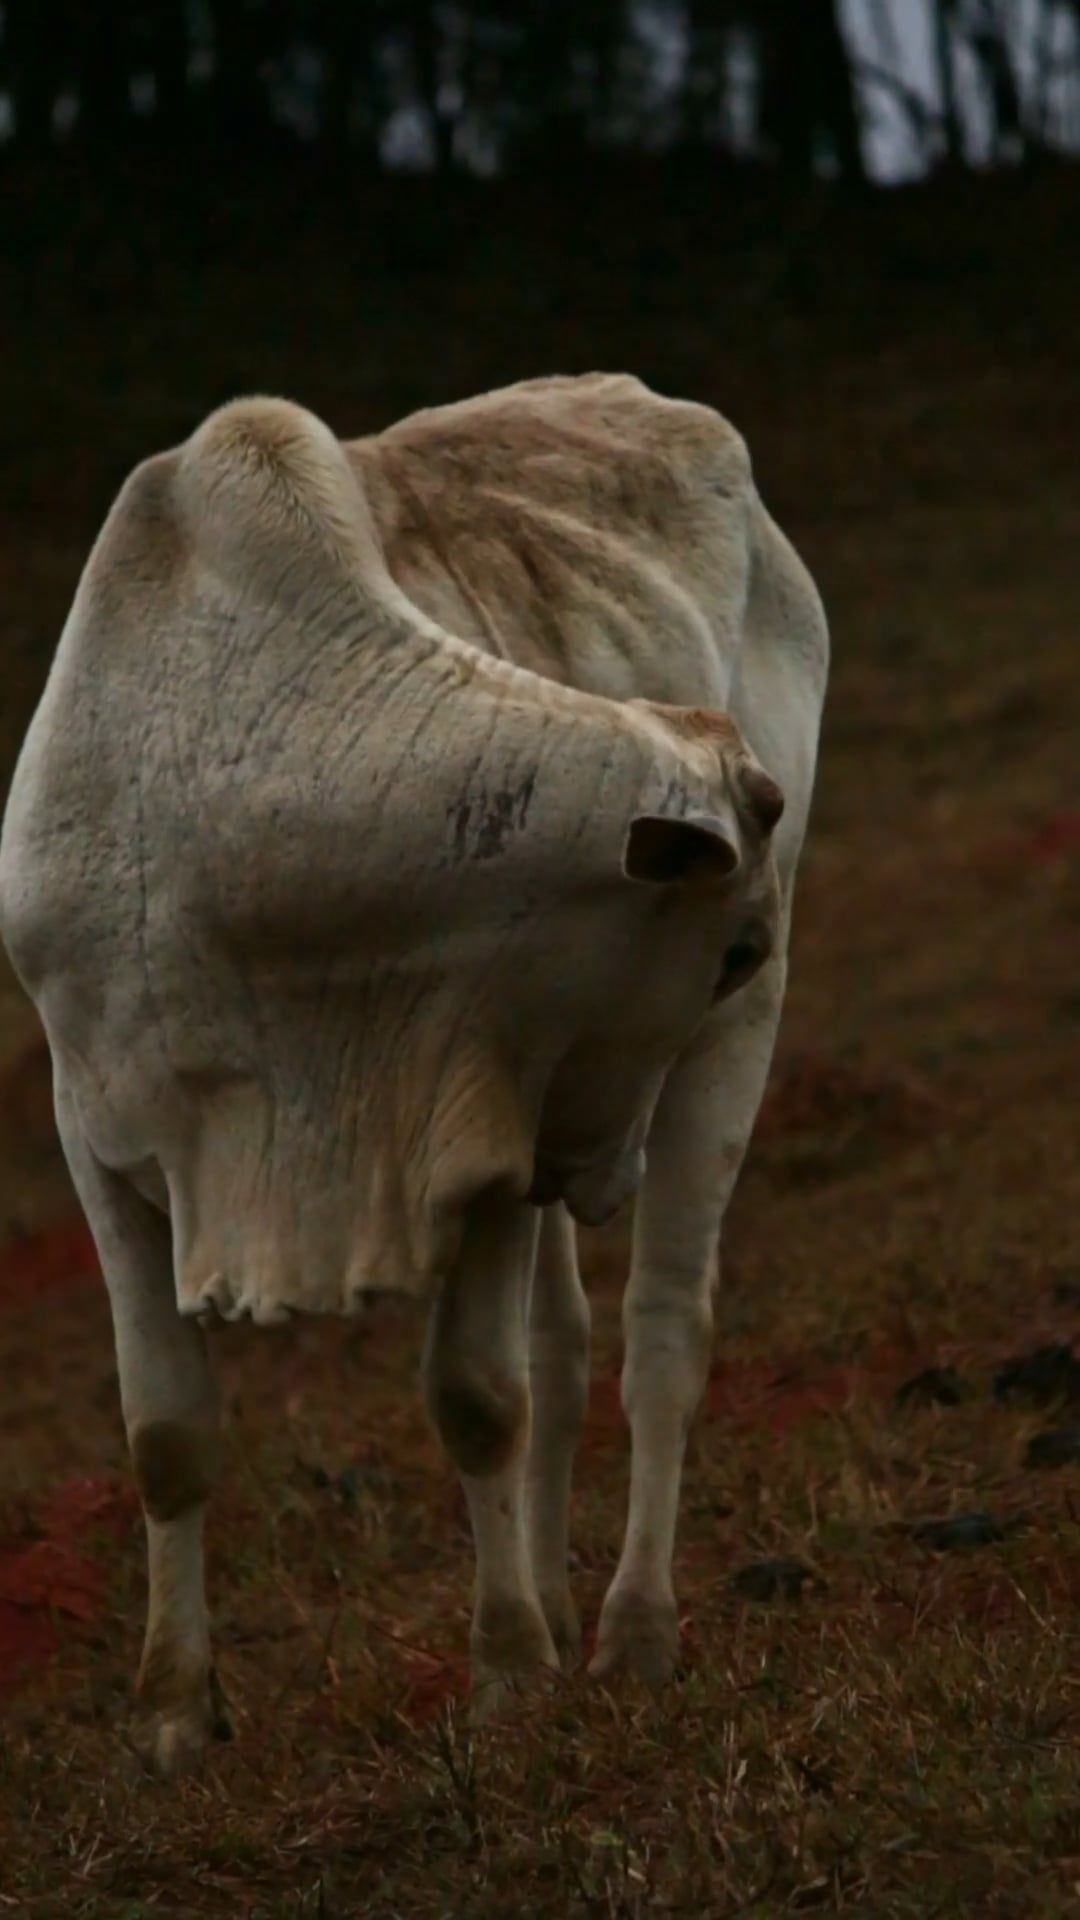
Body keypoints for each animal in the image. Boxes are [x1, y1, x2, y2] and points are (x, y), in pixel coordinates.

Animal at [0, 374, 827, 1775]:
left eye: (744, 951)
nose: (600, 1165)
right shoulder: (98, 1138)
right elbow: (165, 1433)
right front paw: (173, 1709)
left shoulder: (480, 1133)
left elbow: (478, 1400)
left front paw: (507, 1674)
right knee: (567, 1343)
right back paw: (558, 1600)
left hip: (705, 1072)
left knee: (661, 1332)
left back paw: (628, 1629)